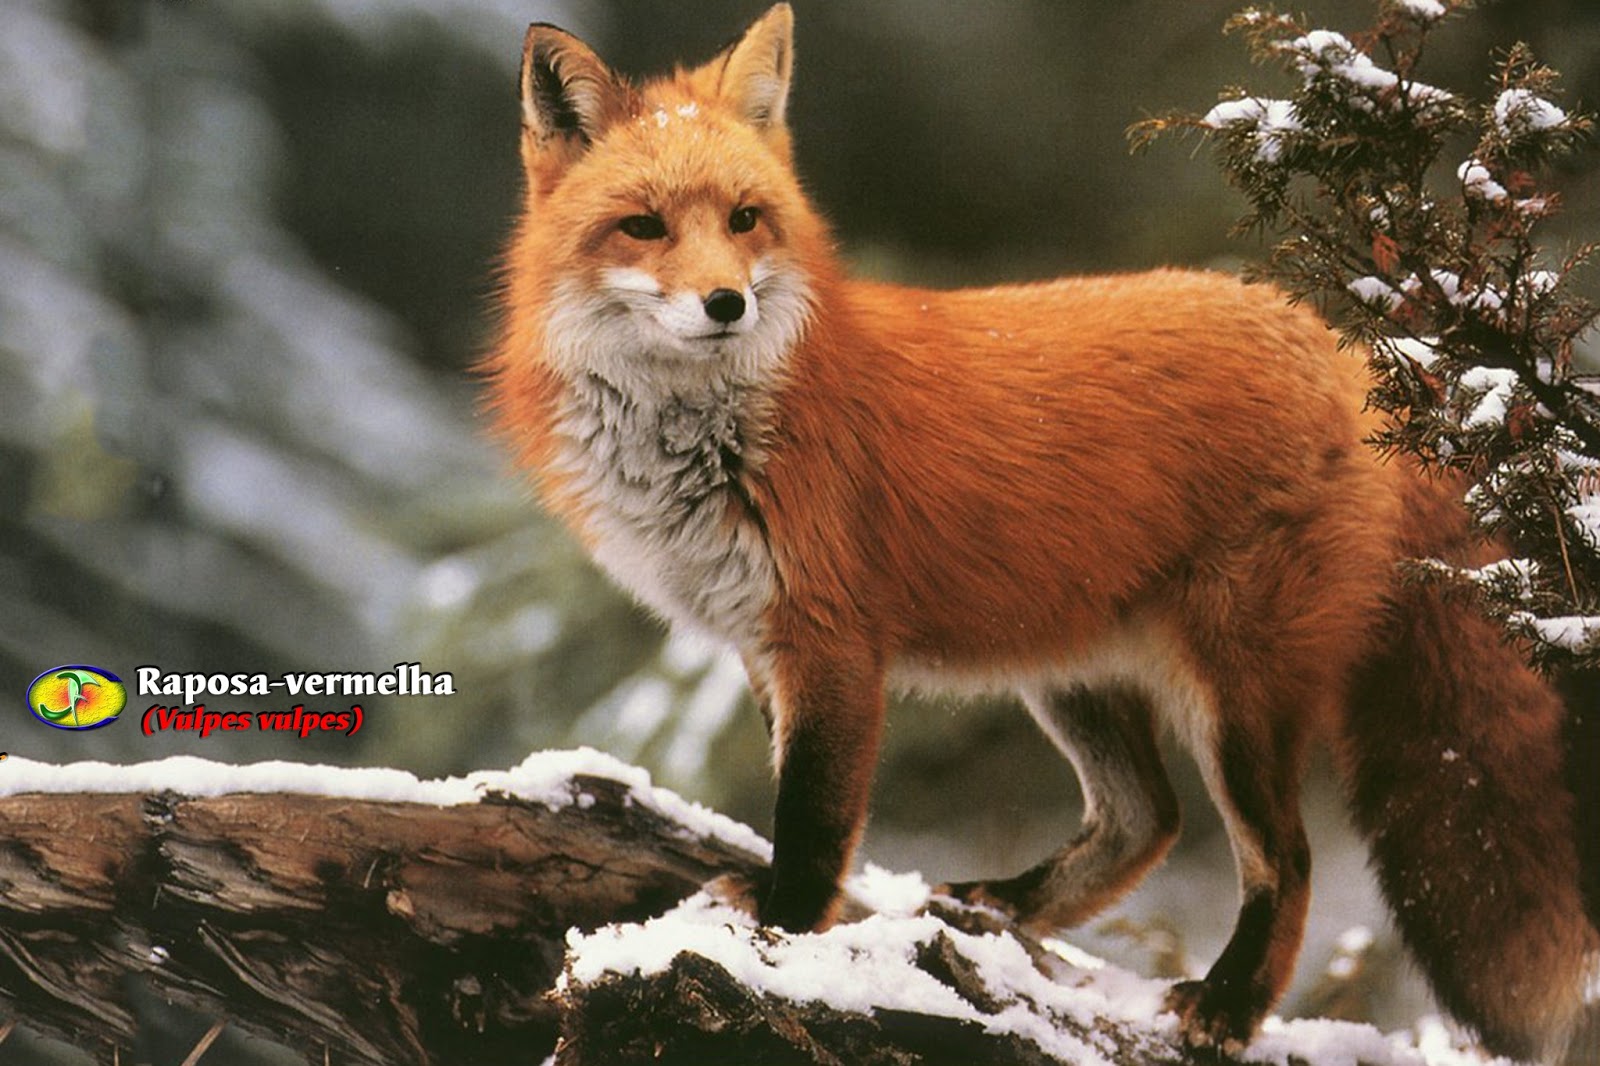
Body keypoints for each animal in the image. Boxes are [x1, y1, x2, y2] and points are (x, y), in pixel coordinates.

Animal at [484, 4, 1598, 1058]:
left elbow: (812, 820)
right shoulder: (763, 644)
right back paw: (1006, 909)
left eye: (744, 218)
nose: (725, 303)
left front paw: (786, 936)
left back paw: (1228, 1007)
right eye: (642, 226)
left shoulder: (831, 642)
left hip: (1234, 695)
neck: (711, 435)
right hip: (1070, 670)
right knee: (1146, 820)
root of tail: (1348, 350)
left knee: (1284, 857)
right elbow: (802, 804)